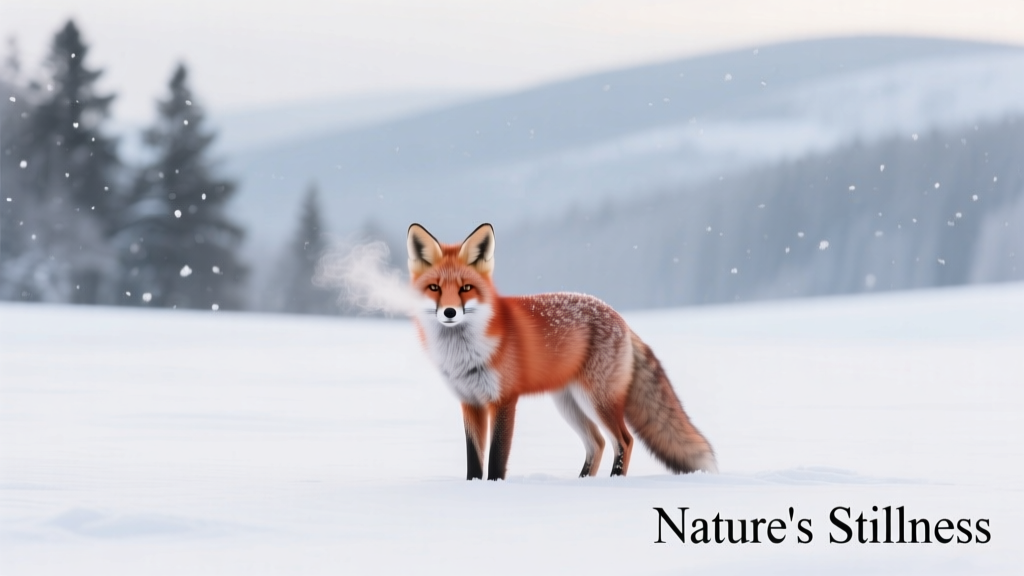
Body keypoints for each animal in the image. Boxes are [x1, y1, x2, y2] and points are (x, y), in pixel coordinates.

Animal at [407, 222, 717, 480]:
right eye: (434, 288)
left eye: (466, 288)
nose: (449, 312)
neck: (465, 352)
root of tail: (618, 315)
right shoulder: (470, 402)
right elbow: (474, 462)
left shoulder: (504, 400)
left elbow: (496, 460)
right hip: (569, 404)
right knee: (597, 443)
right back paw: (582, 484)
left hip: (597, 400)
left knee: (624, 441)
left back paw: (614, 482)